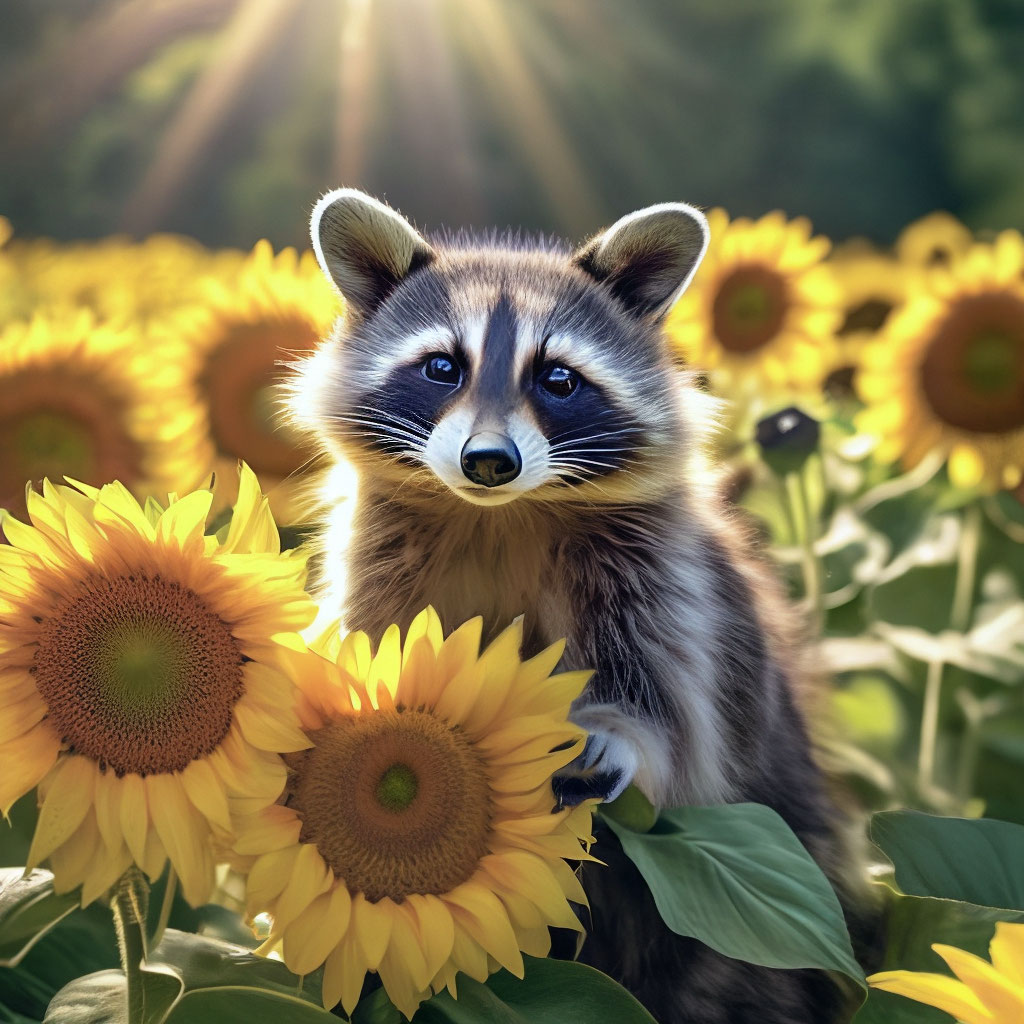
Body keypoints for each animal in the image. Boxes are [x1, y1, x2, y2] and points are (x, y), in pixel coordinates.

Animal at [286, 189, 865, 1023]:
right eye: (441, 367)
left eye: (558, 379)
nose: (487, 462)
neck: (499, 515)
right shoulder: (379, 561)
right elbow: (371, 647)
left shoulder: (659, 576)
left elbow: (678, 725)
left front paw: (621, 732)